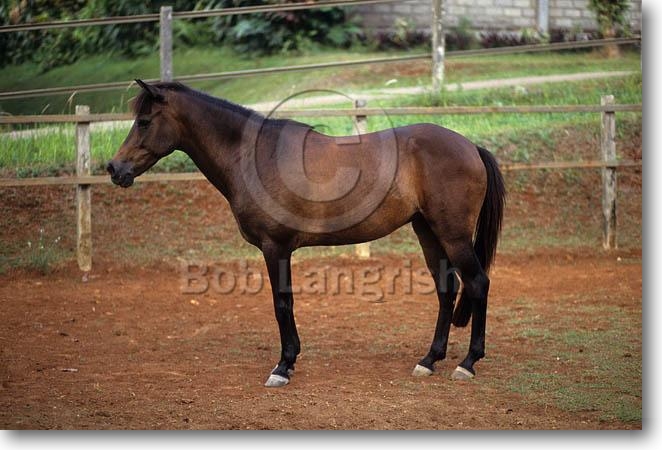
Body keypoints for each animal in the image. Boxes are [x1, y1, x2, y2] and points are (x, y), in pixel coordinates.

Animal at [107, 79, 505, 387]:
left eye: (144, 121)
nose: (114, 168)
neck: (255, 156)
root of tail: (470, 147)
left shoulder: (275, 248)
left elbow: (282, 304)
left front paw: (283, 366)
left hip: (453, 236)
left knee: (478, 283)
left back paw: (467, 363)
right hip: (428, 233)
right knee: (446, 288)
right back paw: (429, 360)